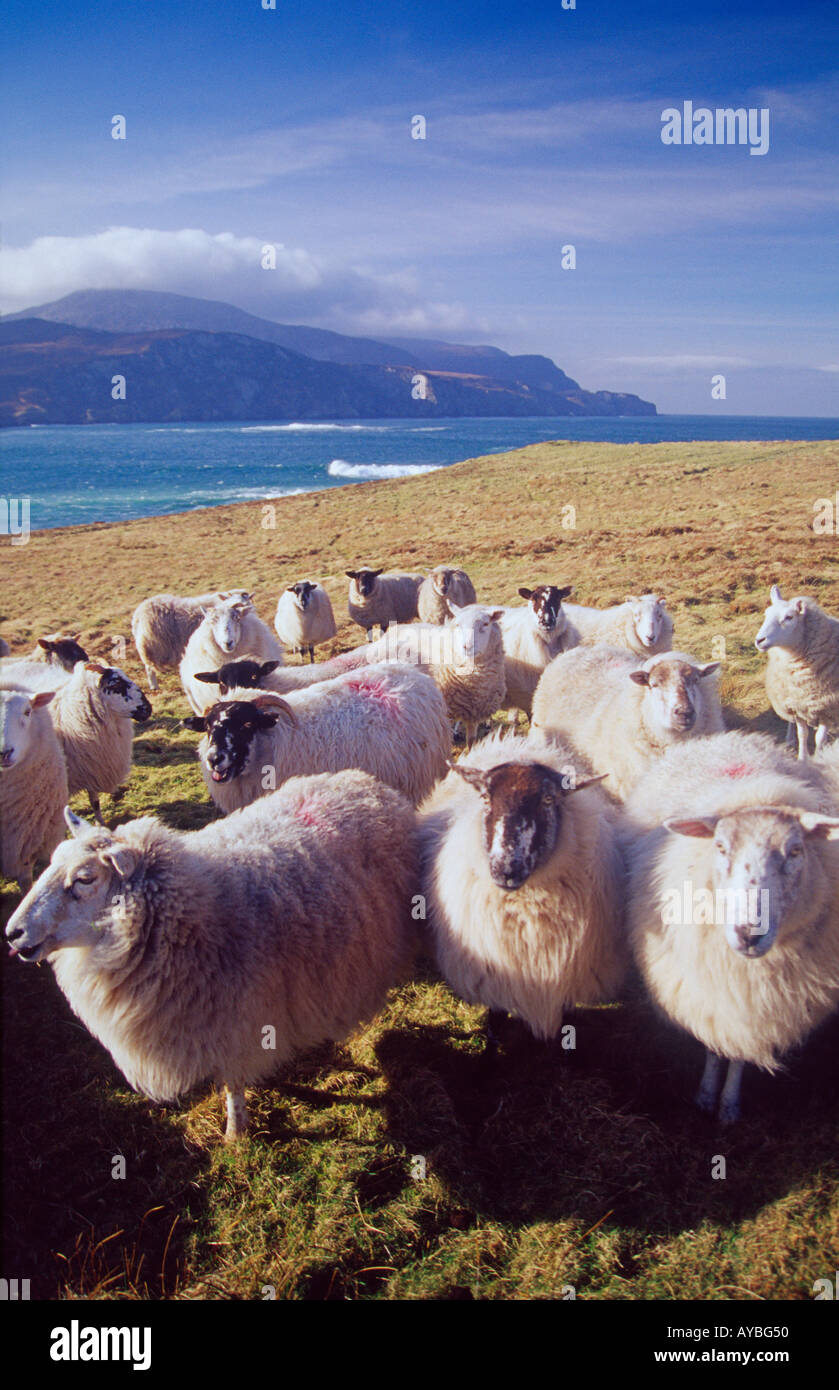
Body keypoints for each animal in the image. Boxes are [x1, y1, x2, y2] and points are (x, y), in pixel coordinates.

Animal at [5, 774, 419, 1142]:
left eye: (85, 879)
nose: (12, 933)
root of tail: (364, 781)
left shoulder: (234, 1017)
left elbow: (233, 1080)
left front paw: (235, 1131)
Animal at [418, 729, 626, 1045]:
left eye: (549, 799)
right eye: (485, 798)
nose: (506, 868)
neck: (526, 909)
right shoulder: (497, 977)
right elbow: (494, 1021)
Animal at [624, 731, 839, 1123]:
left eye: (796, 851)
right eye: (721, 847)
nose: (749, 933)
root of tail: (721, 738)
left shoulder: (752, 1007)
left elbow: (740, 1056)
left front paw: (728, 1104)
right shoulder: (711, 994)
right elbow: (715, 1047)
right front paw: (707, 1094)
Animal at [755, 584, 839, 758]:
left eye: (789, 617)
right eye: (766, 614)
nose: (759, 640)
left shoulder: (827, 706)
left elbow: (819, 738)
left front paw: (818, 758)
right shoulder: (796, 704)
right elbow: (803, 734)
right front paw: (802, 758)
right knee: (791, 723)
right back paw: (789, 739)